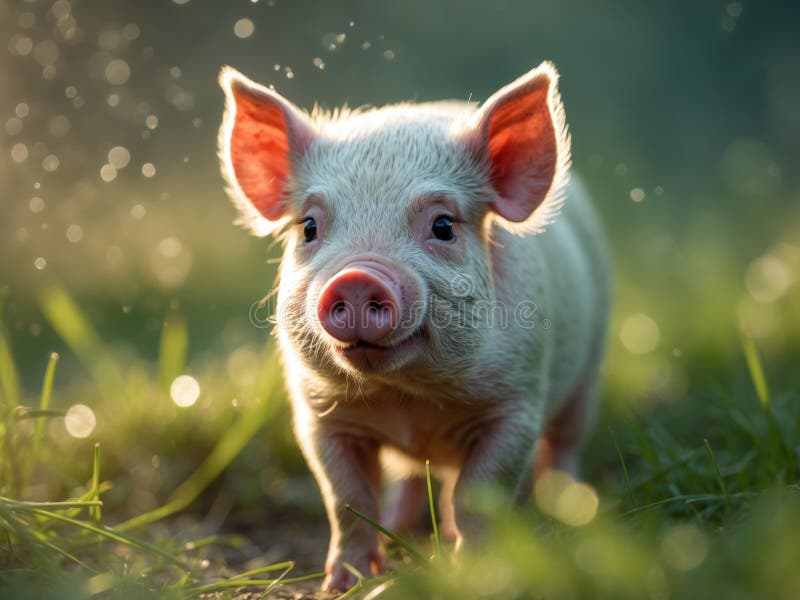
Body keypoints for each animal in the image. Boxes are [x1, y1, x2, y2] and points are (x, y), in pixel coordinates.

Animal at [218, 61, 611, 592]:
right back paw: (401, 525)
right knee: (407, 477)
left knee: (564, 444)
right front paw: (342, 584)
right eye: (309, 227)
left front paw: (472, 571)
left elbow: (476, 496)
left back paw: (568, 511)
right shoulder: (321, 418)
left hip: (589, 369)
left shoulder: (515, 407)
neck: (409, 402)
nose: (357, 278)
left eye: (443, 226)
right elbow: (346, 500)